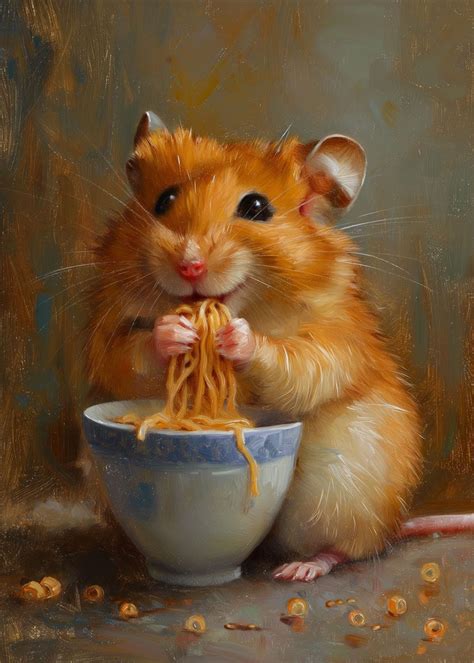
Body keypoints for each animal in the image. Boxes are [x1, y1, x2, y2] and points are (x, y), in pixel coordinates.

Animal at [86, 112, 474, 582]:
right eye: (163, 201)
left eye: (256, 208)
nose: (189, 265)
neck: (254, 306)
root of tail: (395, 524)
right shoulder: (110, 329)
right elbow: (126, 356)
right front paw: (175, 331)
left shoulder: (336, 338)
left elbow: (300, 362)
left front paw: (235, 337)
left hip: (348, 490)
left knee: (345, 548)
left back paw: (300, 569)